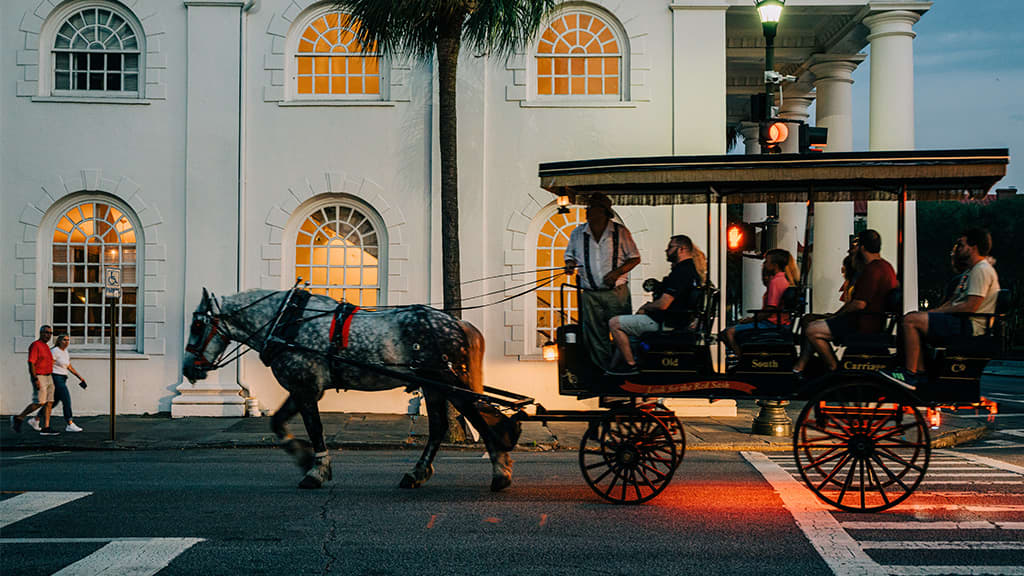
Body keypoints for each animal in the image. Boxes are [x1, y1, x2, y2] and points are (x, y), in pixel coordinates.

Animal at [181, 286, 516, 487]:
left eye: (197, 325)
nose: (188, 368)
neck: (286, 322)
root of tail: (457, 323)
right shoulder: (300, 388)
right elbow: (277, 423)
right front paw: (304, 459)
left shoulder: (305, 387)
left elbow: (315, 429)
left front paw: (315, 470)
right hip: (434, 386)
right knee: (438, 428)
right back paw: (417, 473)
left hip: (449, 382)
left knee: (478, 418)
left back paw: (500, 471)